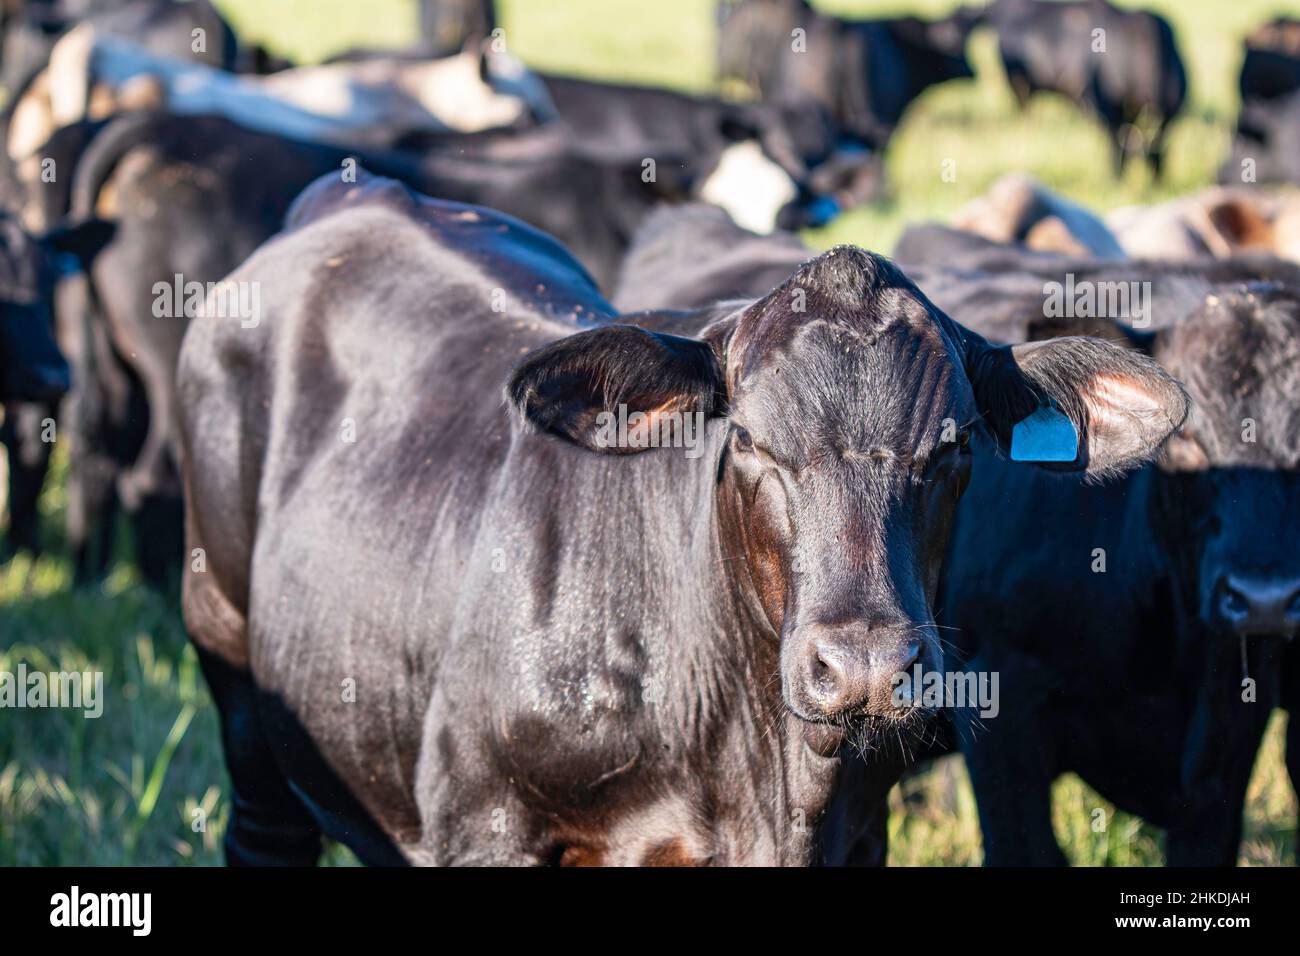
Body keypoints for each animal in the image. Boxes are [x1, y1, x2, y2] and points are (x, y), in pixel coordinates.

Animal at [176, 168, 1186, 866]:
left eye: (954, 448)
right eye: (749, 441)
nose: (864, 668)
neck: (769, 784)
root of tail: (357, 194)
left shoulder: (862, 831)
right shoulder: (484, 823)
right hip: (234, 678)